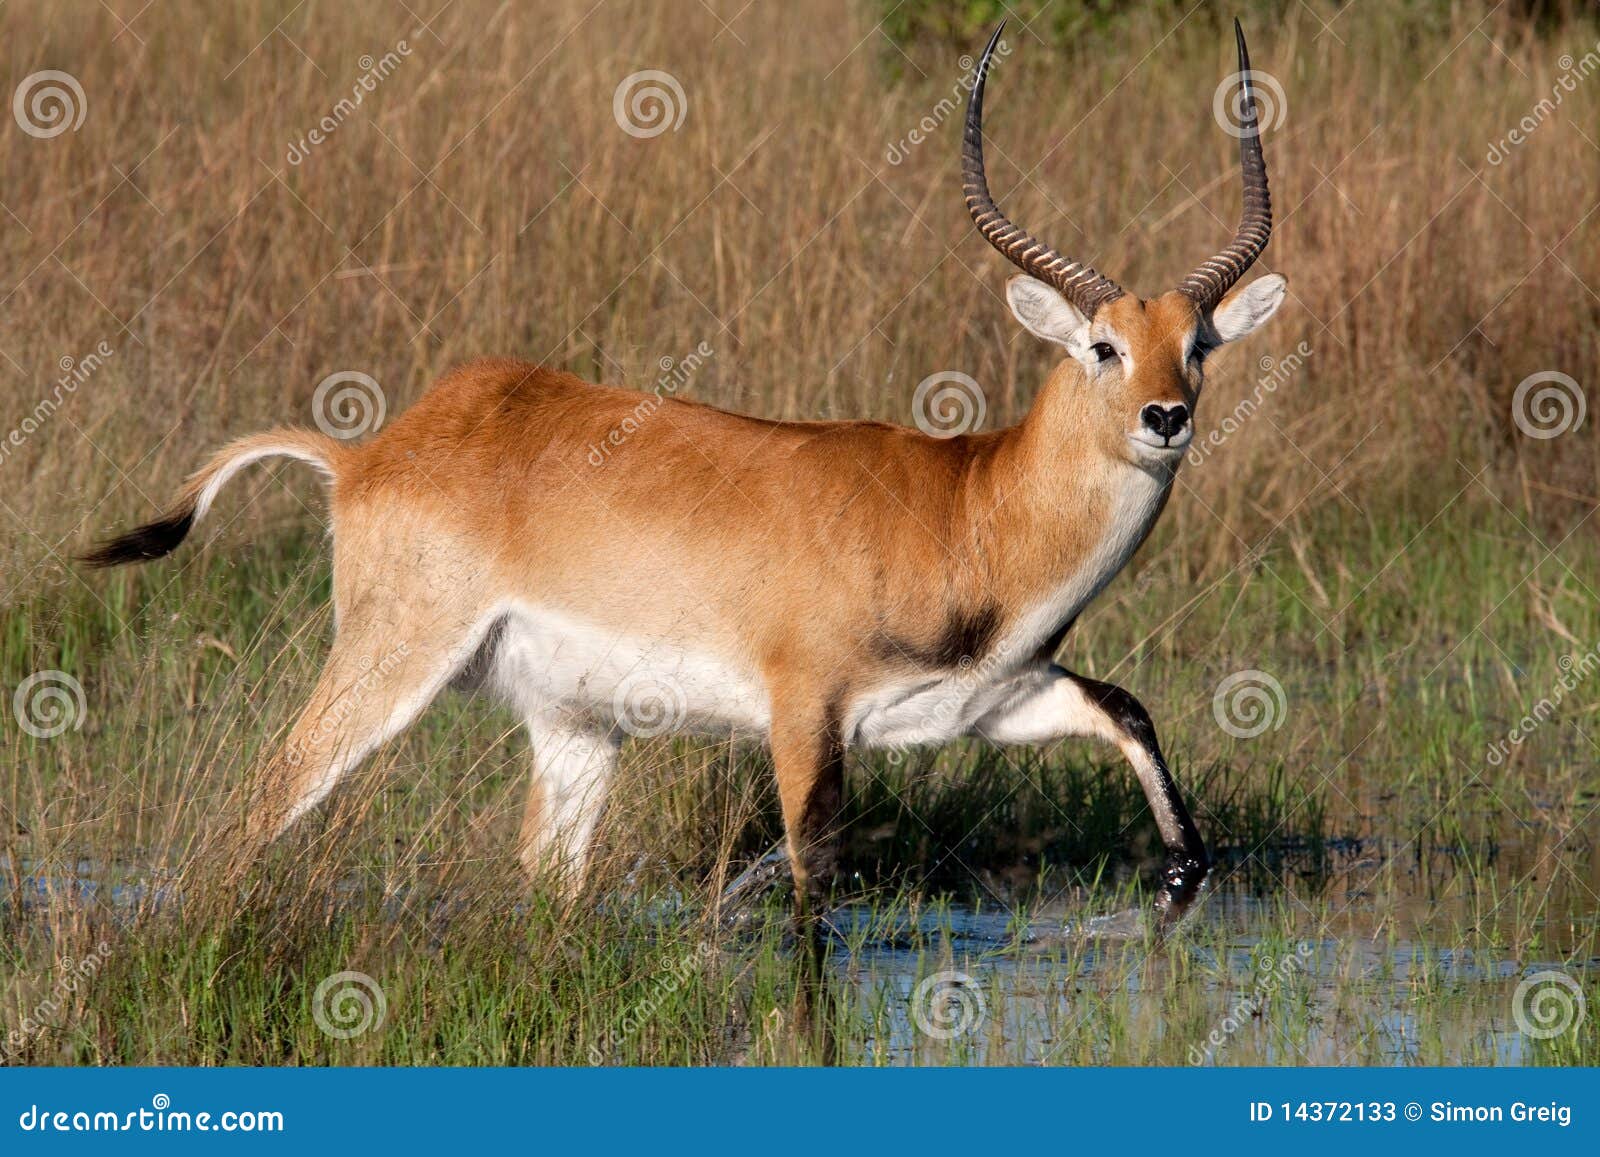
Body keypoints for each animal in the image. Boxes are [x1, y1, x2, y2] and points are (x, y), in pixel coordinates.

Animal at [86, 22, 1285, 932]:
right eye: (1101, 346)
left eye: (1198, 343)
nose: (1166, 416)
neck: (968, 505)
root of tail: (374, 449)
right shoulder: (805, 714)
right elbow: (812, 892)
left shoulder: (995, 700)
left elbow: (1129, 715)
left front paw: (1184, 872)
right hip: (393, 660)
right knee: (261, 804)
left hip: (574, 723)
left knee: (545, 878)